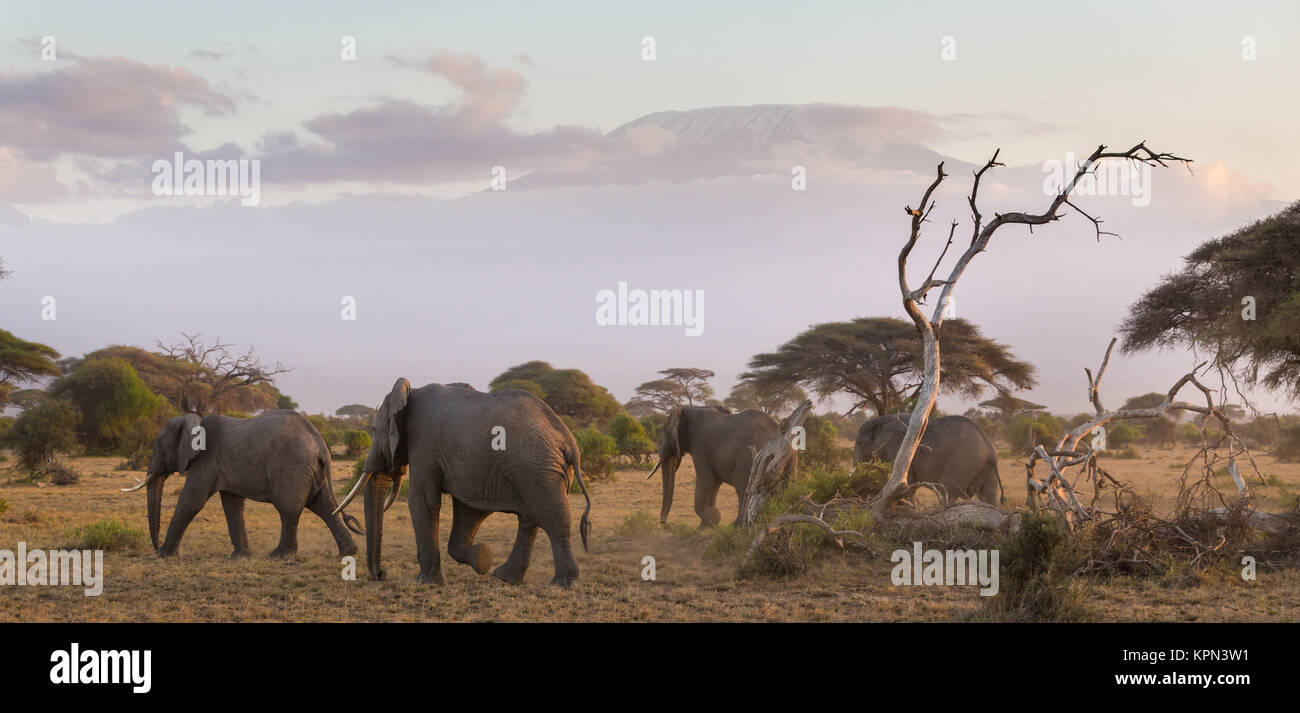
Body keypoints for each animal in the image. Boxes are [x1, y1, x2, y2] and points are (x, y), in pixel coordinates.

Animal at [121, 410, 361, 558]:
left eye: (158, 444)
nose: (154, 548)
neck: (193, 420)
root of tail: (320, 443)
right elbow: (232, 504)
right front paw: (240, 556)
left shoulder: (206, 459)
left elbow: (192, 500)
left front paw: (165, 555)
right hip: (311, 471)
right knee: (324, 506)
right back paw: (348, 552)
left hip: (291, 467)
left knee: (289, 509)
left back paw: (279, 555)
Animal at [333, 379, 592, 587]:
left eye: (374, 429)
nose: (381, 575)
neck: (409, 393)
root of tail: (569, 440)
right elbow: (469, 510)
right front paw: (483, 559)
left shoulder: (423, 443)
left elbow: (422, 500)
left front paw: (427, 583)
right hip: (537, 470)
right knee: (530, 518)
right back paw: (506, 578)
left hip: (537, 466)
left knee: (552, 516)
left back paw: (562, 583)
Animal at [649, 405, 795, 528]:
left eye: (665, 432)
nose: (663, 522)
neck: (686, 409)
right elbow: (715, 484)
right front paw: (704, 527)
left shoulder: (701, 446)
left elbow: (707, 482)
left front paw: (713, 518)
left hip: (750, 461)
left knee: (743, 490)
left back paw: (736, 527)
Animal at [852, 414, 1003, 504]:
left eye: (859, 443)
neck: (883, 420)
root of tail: (990, 451)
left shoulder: (898, 446)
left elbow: (907, 481)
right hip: (982, 467)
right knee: (989, 494)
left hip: (963, 462)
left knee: (946, 490)